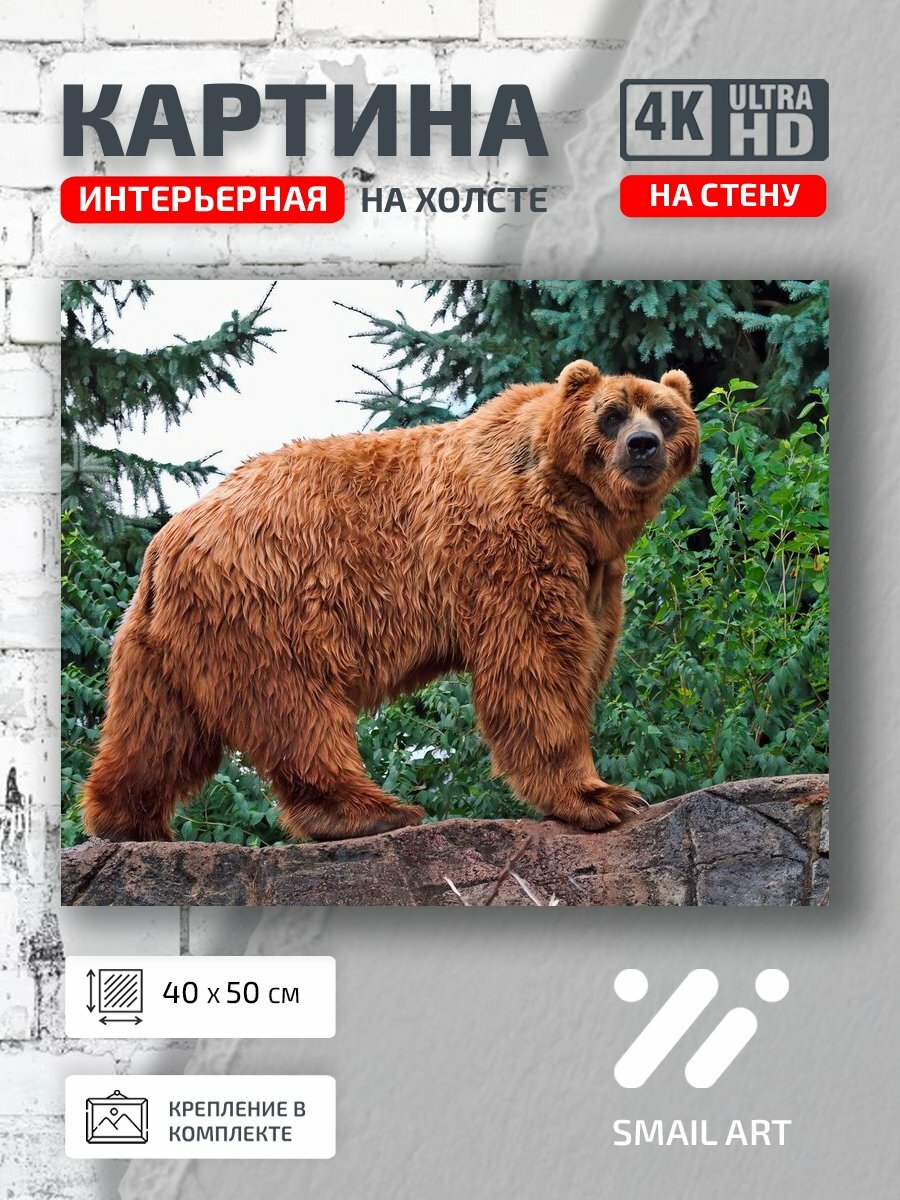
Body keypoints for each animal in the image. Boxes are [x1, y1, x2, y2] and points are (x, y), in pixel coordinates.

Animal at [81, 360, 700, 843]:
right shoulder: (510, 545)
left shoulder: (595, 569)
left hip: (166, 641)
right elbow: (536, 664)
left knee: (159, 728)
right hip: (270, 598)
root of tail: (166, 542)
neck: (573, 506)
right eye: (612, 414)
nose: (643, 445)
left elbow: (586, 650)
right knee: (296, 706)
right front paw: (603, 796)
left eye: (665, 414)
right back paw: (373, 811)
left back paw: (126, 821)